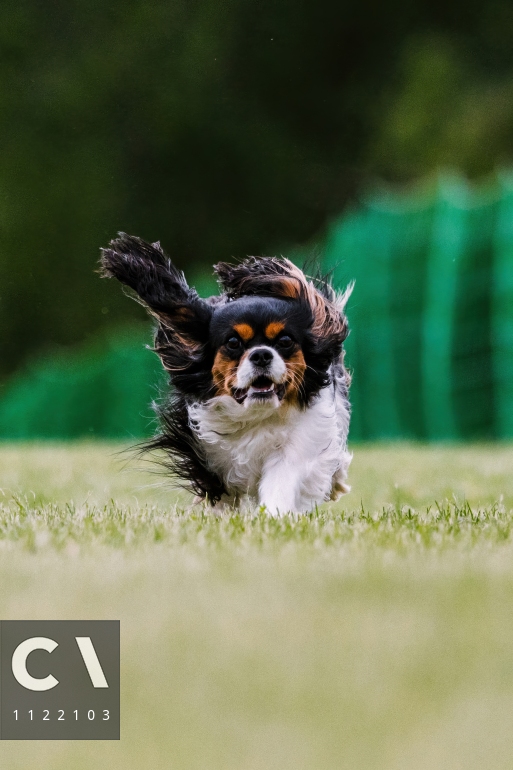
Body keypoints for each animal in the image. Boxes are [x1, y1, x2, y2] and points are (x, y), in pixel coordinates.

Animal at [100, 233, 353, 515]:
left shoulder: (298, 442)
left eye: (286, 341)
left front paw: (273, 514)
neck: (255, 417)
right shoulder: (207, 454)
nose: (261, 354)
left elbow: (281, 479)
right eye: (233, 343)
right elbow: (219, 489)